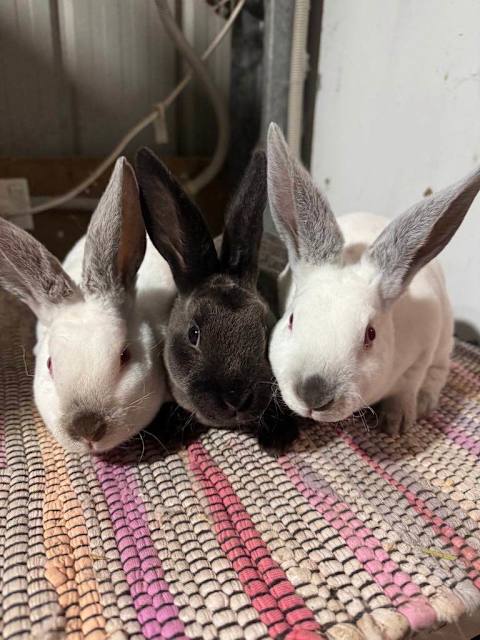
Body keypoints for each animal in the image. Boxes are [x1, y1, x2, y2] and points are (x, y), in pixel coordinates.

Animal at [266, 122, 480, 436]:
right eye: (292, 319)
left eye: (371, 334)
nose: (314, 396)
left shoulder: (424, 346)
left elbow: (408, 387)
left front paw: (396, 424)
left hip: (444, 338)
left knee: (438, 371)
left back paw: (425, 403)